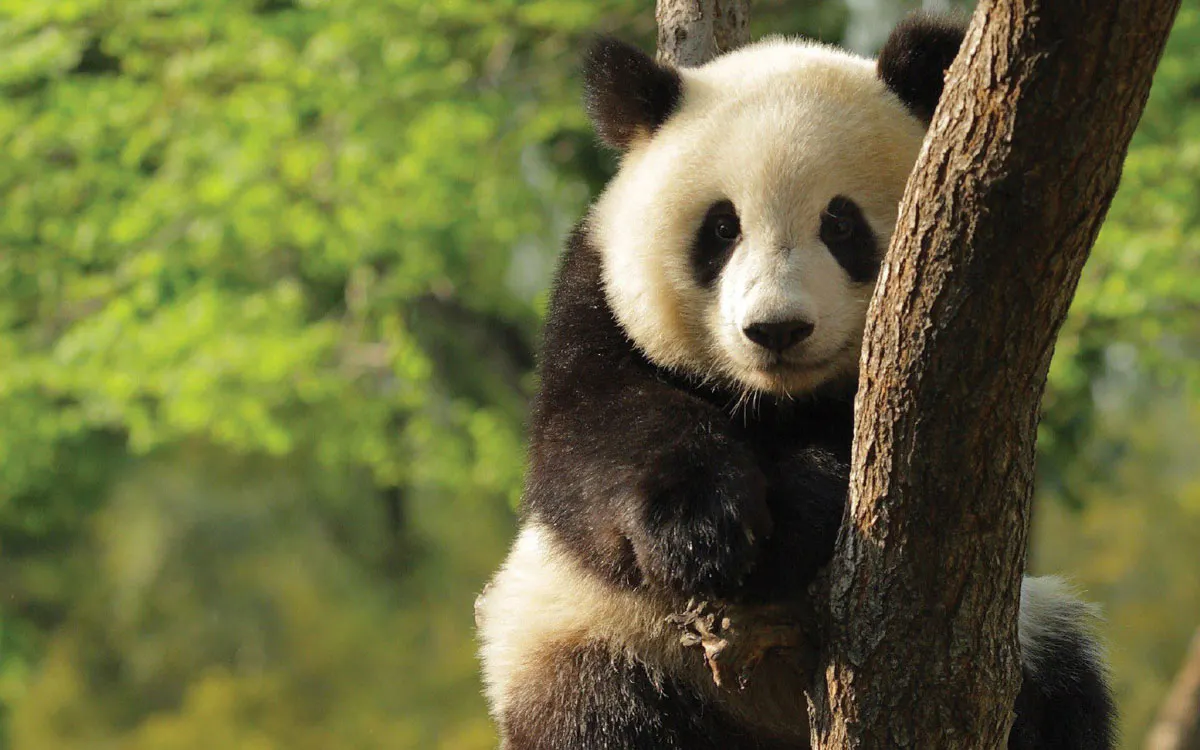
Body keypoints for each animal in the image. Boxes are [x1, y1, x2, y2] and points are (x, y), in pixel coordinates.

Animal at [476, 14, 1116, 750]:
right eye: (721, 227)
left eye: (839, 223)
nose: (776, 329)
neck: (774, 401)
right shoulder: (596, 300)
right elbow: (590, 440)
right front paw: (703, 528)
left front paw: (791, 516)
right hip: (583, 637)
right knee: (598, 711)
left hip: (1030, 635)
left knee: (1065, 691)